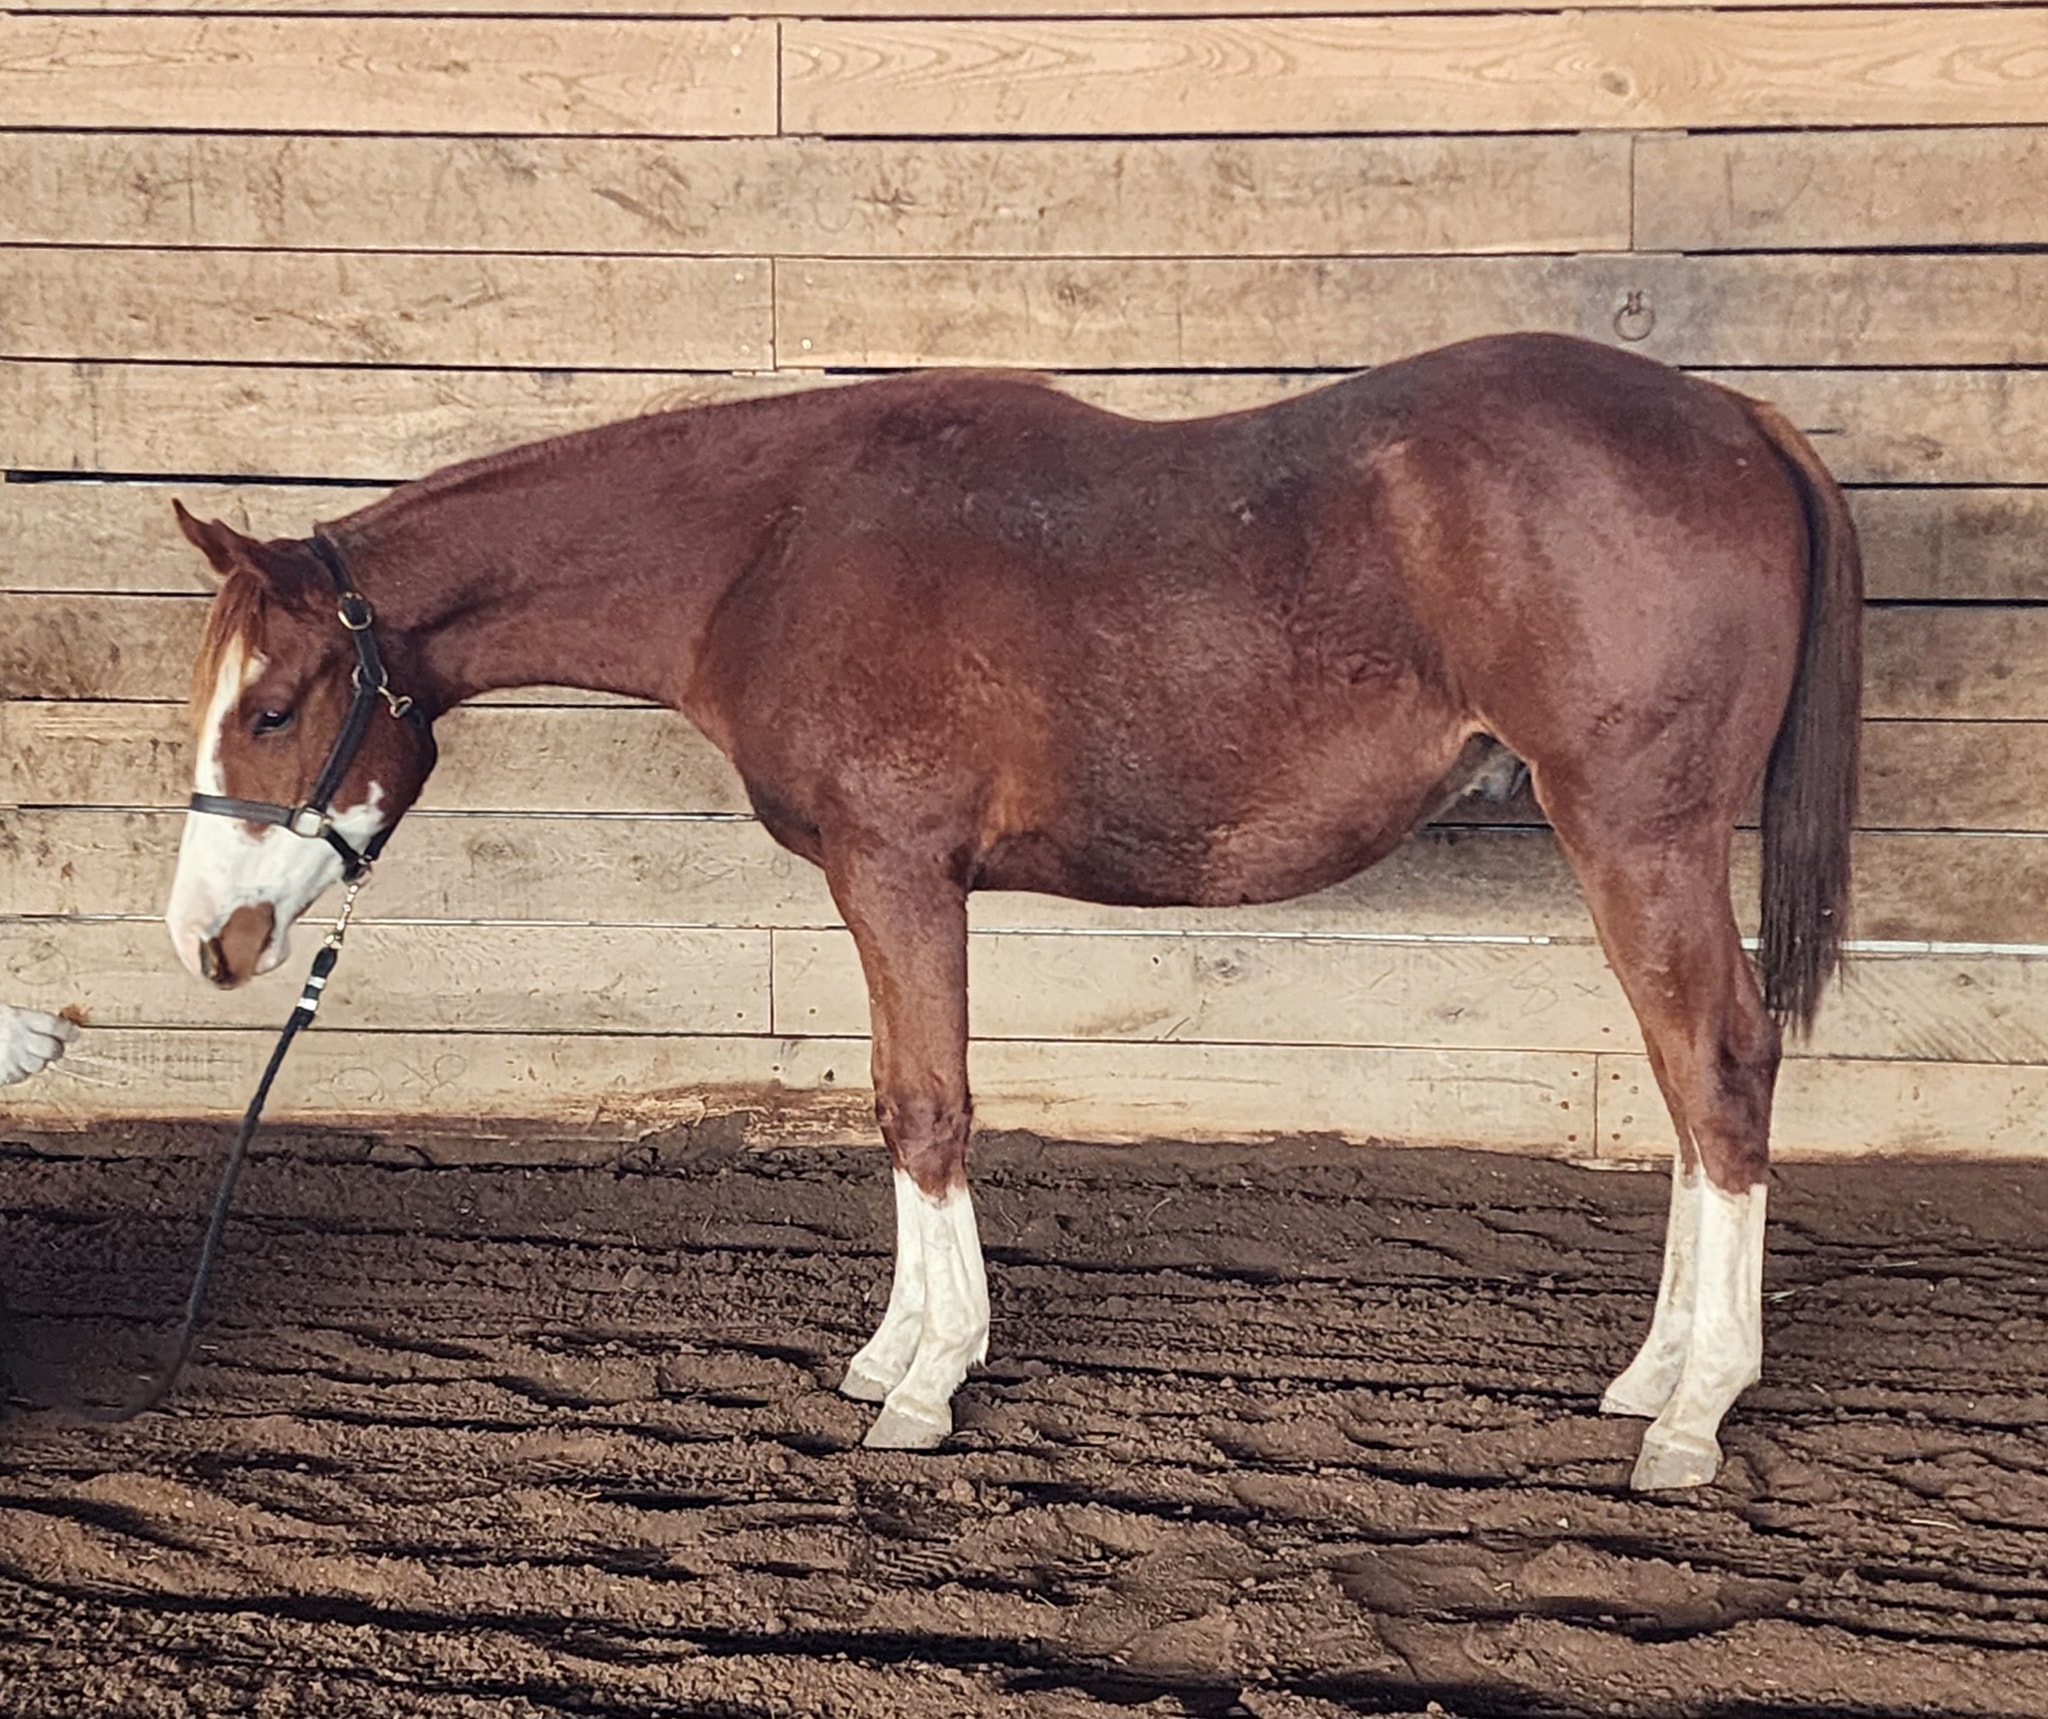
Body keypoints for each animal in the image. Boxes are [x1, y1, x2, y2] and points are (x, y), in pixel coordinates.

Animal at [163, 333, 1861, 1490]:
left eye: (273, 704)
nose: (203, 940)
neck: (768, 549)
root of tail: (1741, 418)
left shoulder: (897, 869)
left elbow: (927, 1107)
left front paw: (927, 1380)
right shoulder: (891, 882)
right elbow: (900, 1103)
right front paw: (891, 1355)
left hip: (1638, 832)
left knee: (1721, 1069)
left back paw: (1696, 1408)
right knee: (1689, 1087)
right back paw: (1654, 1374)